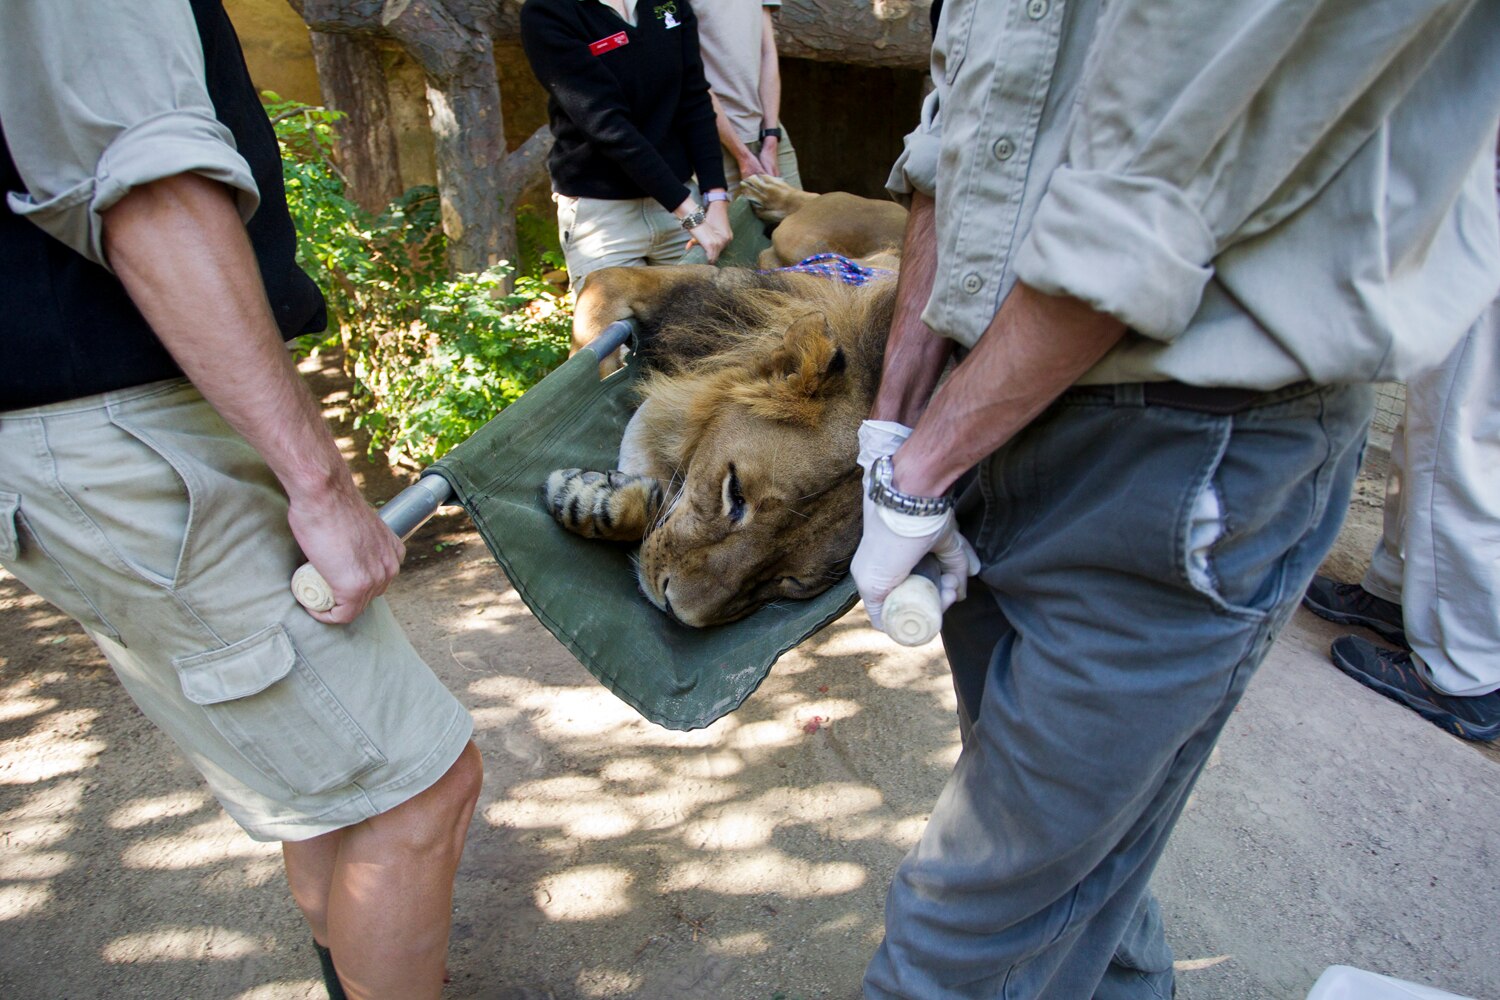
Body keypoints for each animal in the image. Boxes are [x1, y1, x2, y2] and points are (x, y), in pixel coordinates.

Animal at [542, 184, 908, 628]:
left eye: (789, 581)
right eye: (735, 493)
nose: (673, 610)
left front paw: (594, 500)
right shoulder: (691, 291)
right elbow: (598, 315)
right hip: (804, 235)